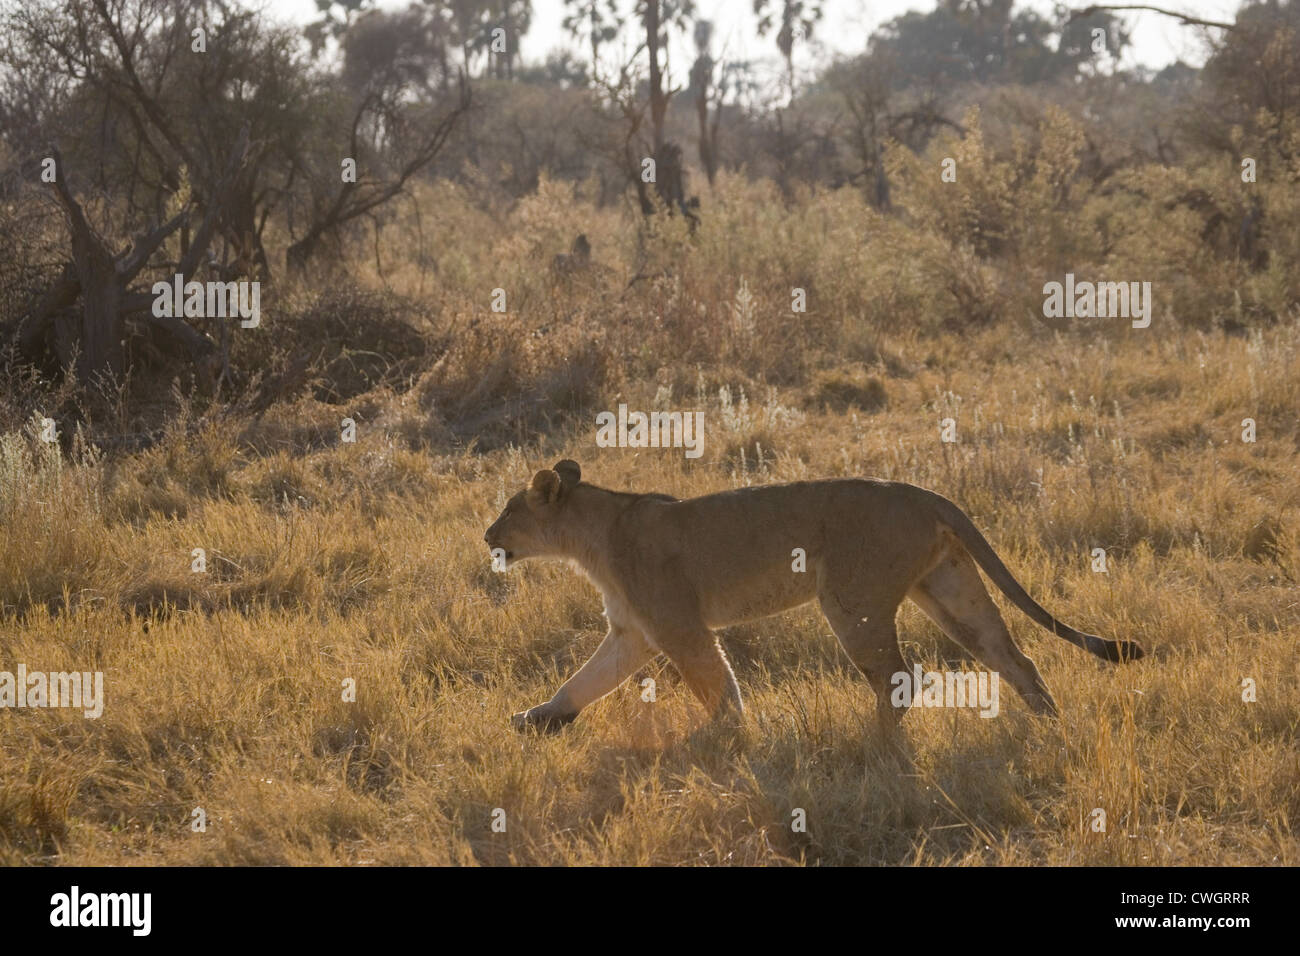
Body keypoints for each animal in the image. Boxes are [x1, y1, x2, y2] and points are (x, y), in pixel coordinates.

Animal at [483, 460, 1143, 733]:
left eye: (510, 510)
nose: (486, 535)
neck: (591, 536)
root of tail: (925, 492)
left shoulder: (678, 627)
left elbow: (717, 686)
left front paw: (728, 740)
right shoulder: (634, 632)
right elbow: (584, 680)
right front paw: (537, 720)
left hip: (851, 599)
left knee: (899, 678)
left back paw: (874, 749)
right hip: (950, 588)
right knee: (1013, 656)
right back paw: (1052, 728)